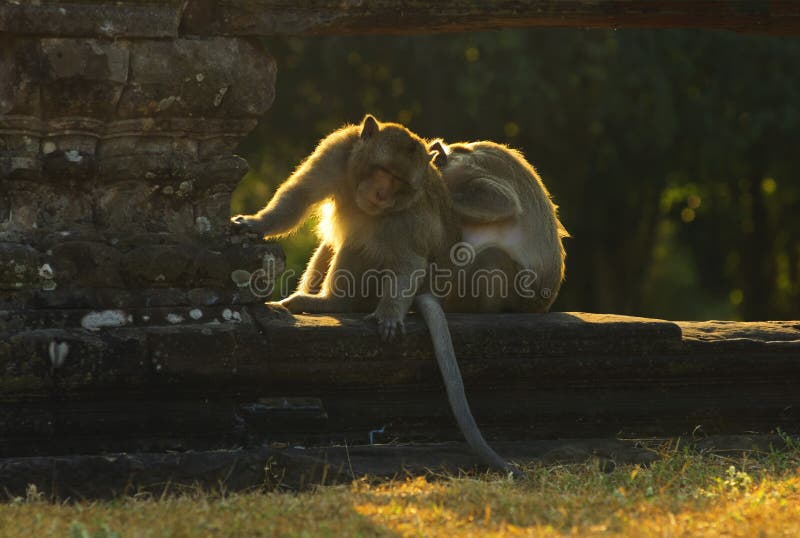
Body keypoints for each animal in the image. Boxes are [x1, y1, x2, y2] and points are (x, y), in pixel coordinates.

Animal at [231, 116, 523, 477]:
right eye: (383, 171)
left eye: (399, 181)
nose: (382, 194)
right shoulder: (335, 151)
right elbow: (299, 196)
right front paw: (257, 223)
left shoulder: (408, 212)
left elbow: (408, 259)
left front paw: (390, 312)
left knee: (367, 236)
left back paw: (330, 302)